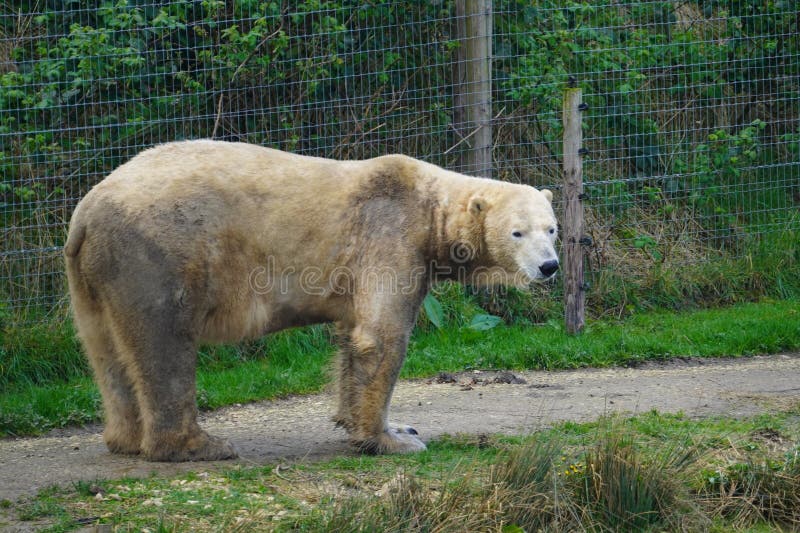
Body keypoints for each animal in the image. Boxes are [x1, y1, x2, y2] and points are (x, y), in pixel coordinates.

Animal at [64, 139, 559, 461]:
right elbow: (380, 337)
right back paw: (199, 446)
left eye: (551, 228)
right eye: (518, 232)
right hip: (157, 253)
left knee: (103, 350)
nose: (549, 266)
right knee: (164, 342)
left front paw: (384, 425)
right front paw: (392, 440)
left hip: (93, 276)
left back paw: (125, 438)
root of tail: (87, 210)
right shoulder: (390, 235)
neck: (430, 207)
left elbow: (351, 336)